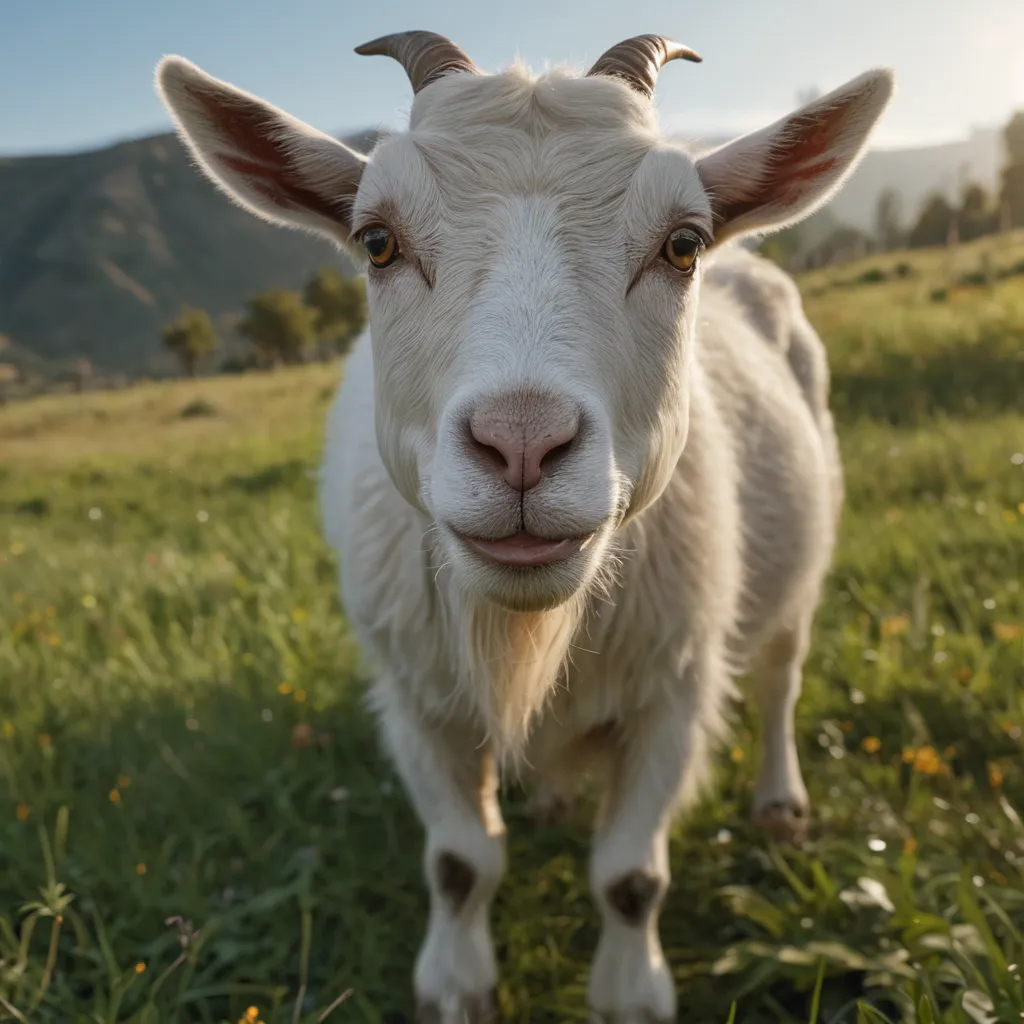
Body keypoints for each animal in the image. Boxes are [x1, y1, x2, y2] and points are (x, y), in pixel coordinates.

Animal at [156, 32, 893, 1023]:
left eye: (683, 244)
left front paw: (631, 993)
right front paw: (454, 985)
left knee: (781, 677)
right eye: (377, 241)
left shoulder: (676, 688)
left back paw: (779, 802)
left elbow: (630, 879)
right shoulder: (415, 697)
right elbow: (460, 864)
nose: (520, 443)